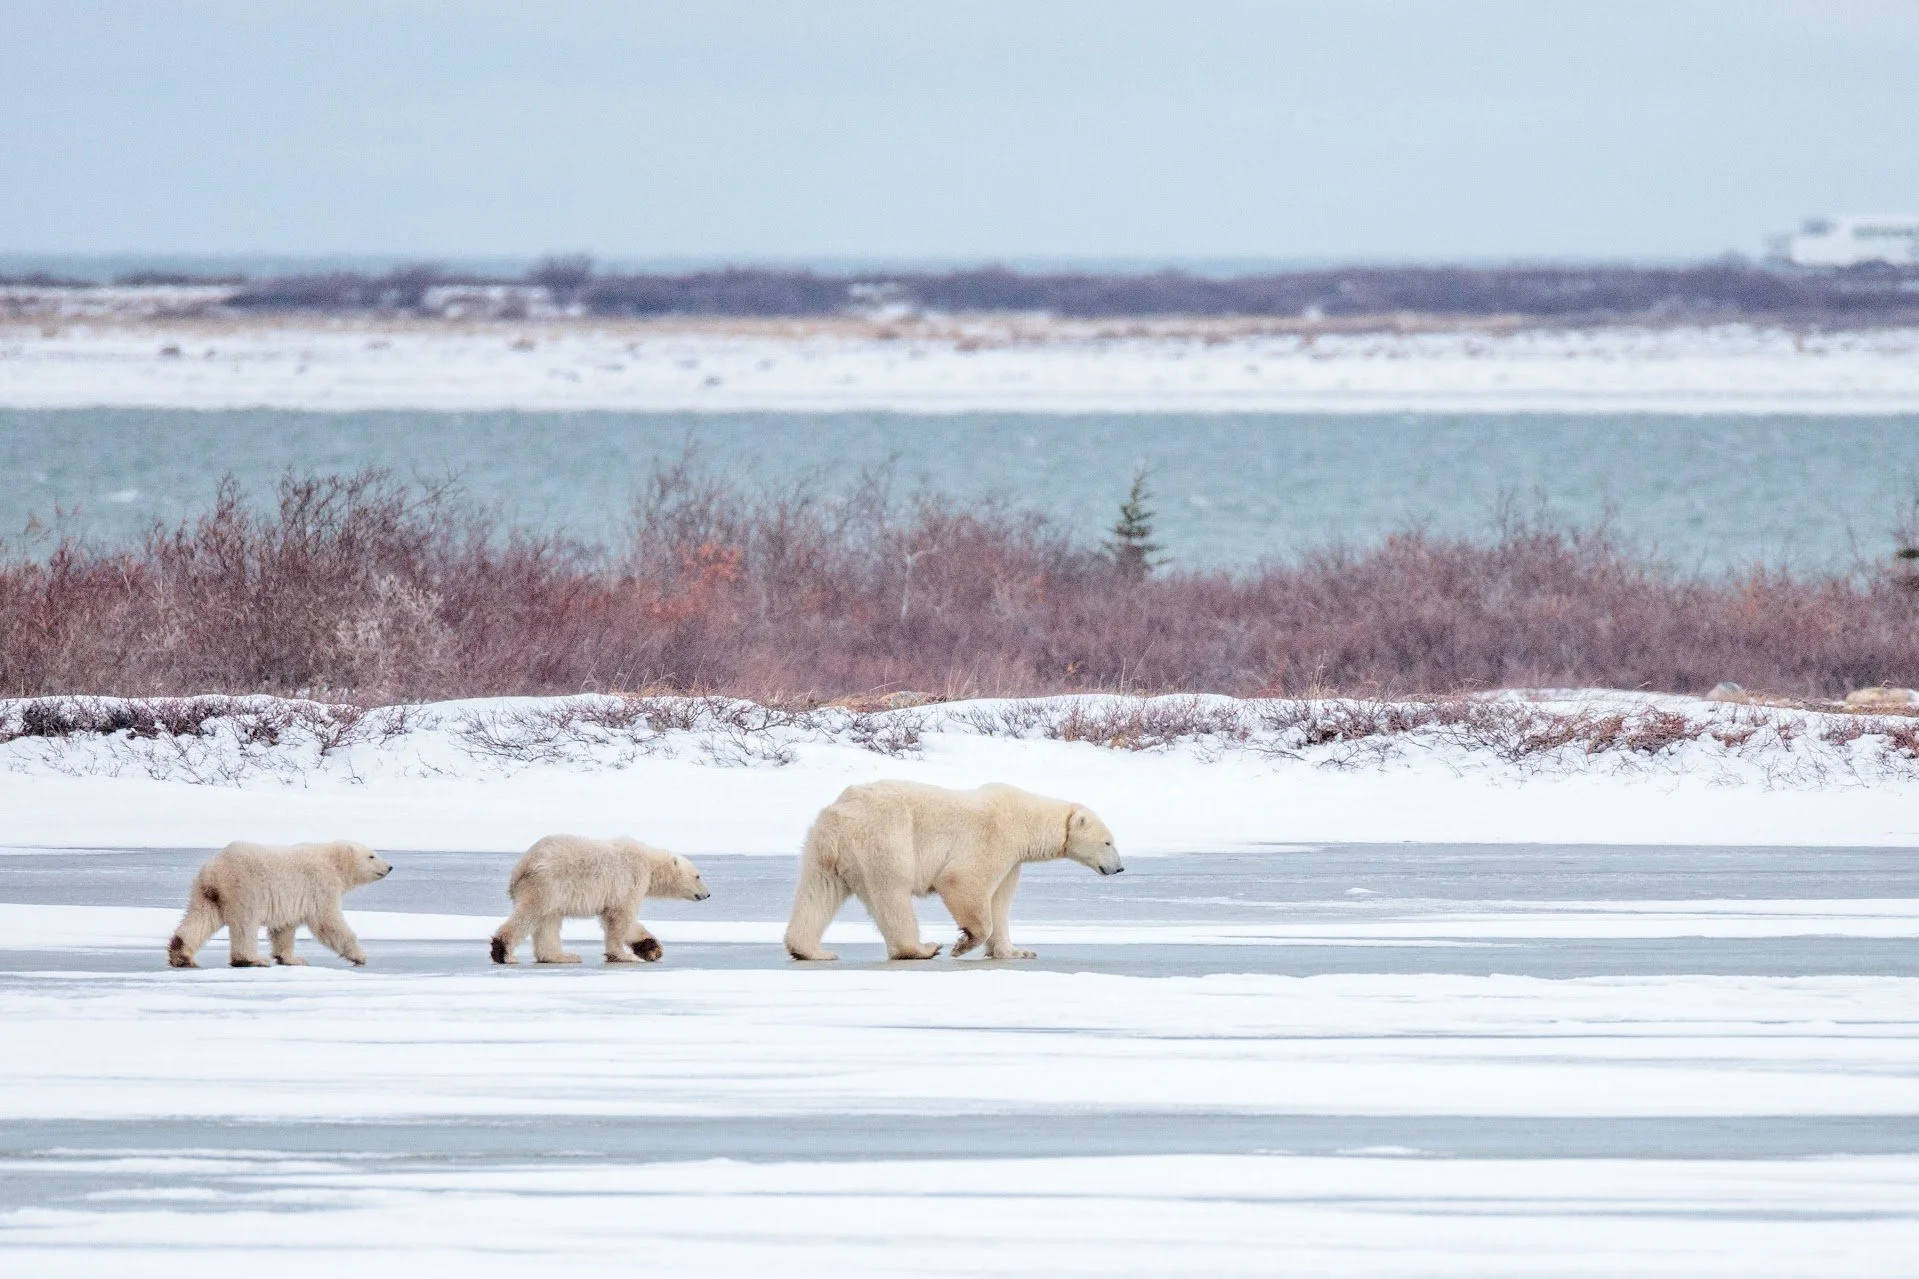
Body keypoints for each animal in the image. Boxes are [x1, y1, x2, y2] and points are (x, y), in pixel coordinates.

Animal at [167, 840, 392, 969]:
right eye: (372, 855)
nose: (390, 867)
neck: (333, 861)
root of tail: (213, 869)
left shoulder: (291, 900)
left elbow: (284, 929)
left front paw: (292, 959)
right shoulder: (320, 885)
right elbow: (328, 921)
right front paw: (359, 956)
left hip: (207, 894)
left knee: (201, 917)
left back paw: (181, 955)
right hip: (244, 888)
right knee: (245, 925)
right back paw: (252, 960)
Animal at [489, 834, 711, 965]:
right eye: (698, 876)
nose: (707, 894)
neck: (648, 861)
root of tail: (521, 865)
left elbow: (626, 922)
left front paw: (651, 948)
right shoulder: (630, 879)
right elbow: (620, 918)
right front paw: (625, 956)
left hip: (553, 894)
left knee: (548, 922)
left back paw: (563, 956)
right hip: (547, 884)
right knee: (530, 915)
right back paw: (503, 952)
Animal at [784, 780, 1123, 963]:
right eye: (1108, 841)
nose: (1119, 867)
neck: (1026, 819)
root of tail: (841, 814)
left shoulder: (1012, 861)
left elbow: (1000, 903)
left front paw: (1017, 951)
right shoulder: (994, 837)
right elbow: (963, 881)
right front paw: (963, 944)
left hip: (822, 847)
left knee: (818, 893)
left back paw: (810, 951)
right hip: (884, 838)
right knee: (892, 894)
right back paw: (921, 948)